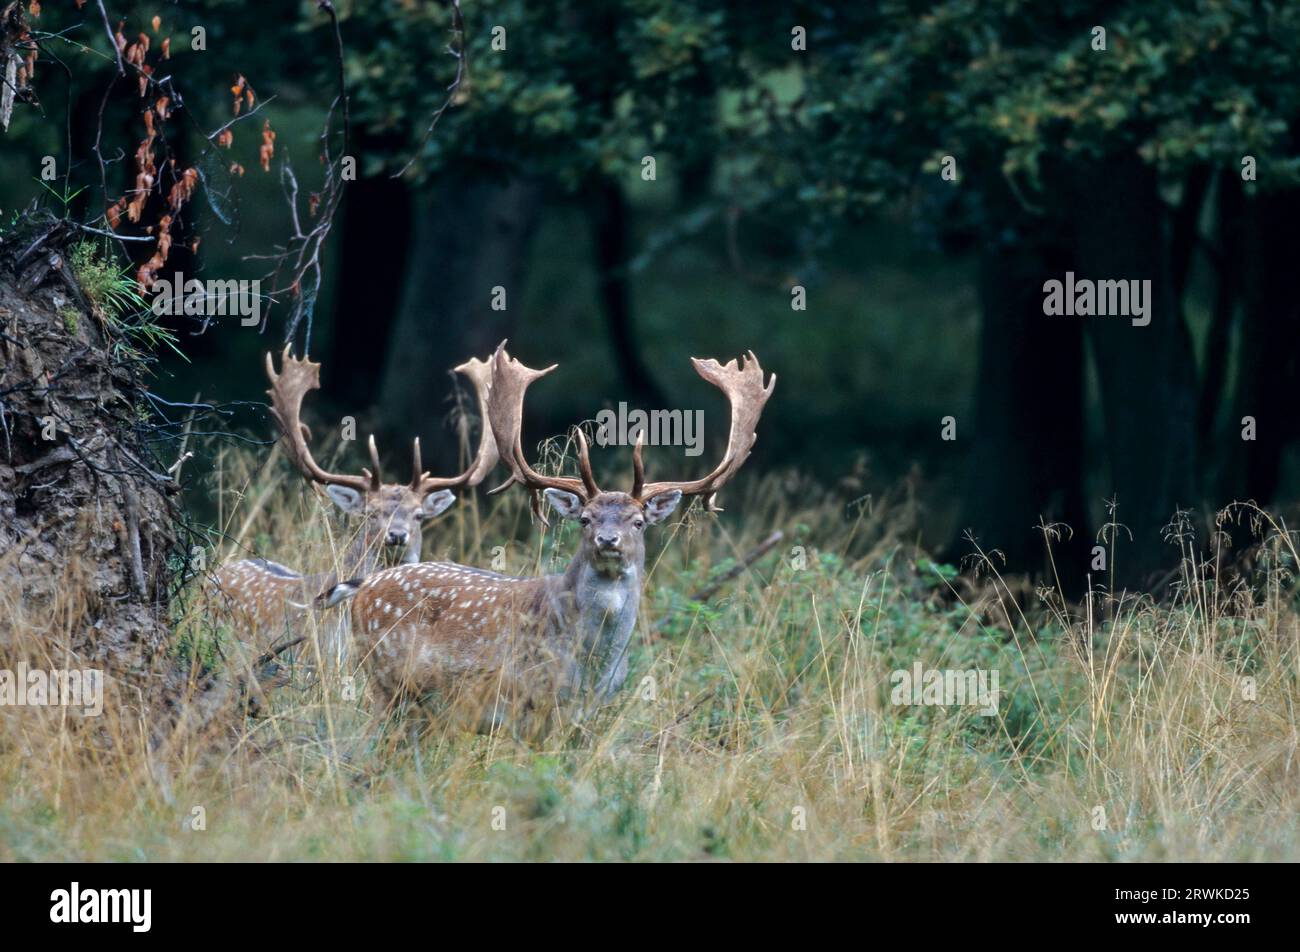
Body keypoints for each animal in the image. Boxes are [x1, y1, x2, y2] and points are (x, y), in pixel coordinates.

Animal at [324, 342, 774, 733]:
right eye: (585, 519)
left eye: (638, 522)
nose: (608, 541)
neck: (592, 666)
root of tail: (363, 586)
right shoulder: (526, 702)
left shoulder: (591, 712)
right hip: (385, 677)